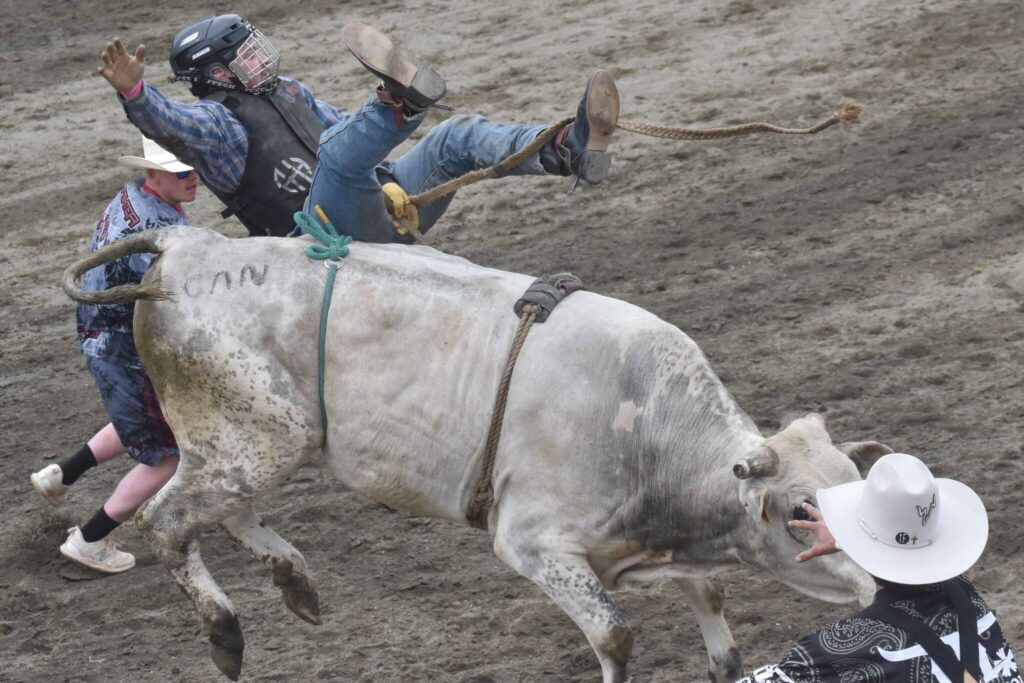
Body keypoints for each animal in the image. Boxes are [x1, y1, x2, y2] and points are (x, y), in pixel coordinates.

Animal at [62, 226, 891, 682]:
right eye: (801, 508)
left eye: (857, 484)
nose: (881, 581)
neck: (645, 429)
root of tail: (188, 247)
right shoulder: (533, 543)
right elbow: (614, 634)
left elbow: (718, 626)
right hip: (260, 433)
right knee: (168, 522)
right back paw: (227, 635)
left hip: (252, 436)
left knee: (224, 509)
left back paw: (294, 580)